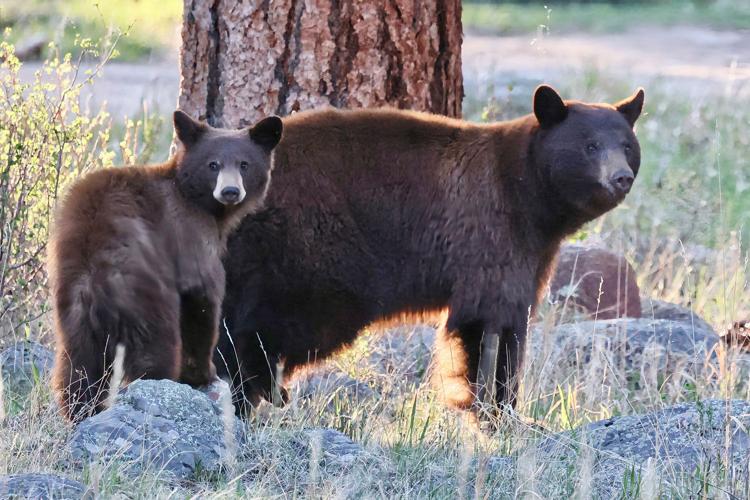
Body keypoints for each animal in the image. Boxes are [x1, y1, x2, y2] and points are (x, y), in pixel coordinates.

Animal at [49, 110, 283, 421]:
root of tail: (96, 269)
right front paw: (203, 373)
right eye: (213, 164)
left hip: (73, 304)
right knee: (155, 348)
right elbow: (202, 297)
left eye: (245, 164)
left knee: (79, 364)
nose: (230, 191)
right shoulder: (190, 232)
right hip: (145, 293)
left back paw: (83, 410)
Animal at [216, 85, 644, 413]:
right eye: (590, 146)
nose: (621, 177)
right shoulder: (489, 229)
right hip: (312, 248)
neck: (527, 192)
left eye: (626, 145)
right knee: (267, 325)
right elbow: (489, 321)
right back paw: (254, 388)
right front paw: (496, 412)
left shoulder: (532, 251)